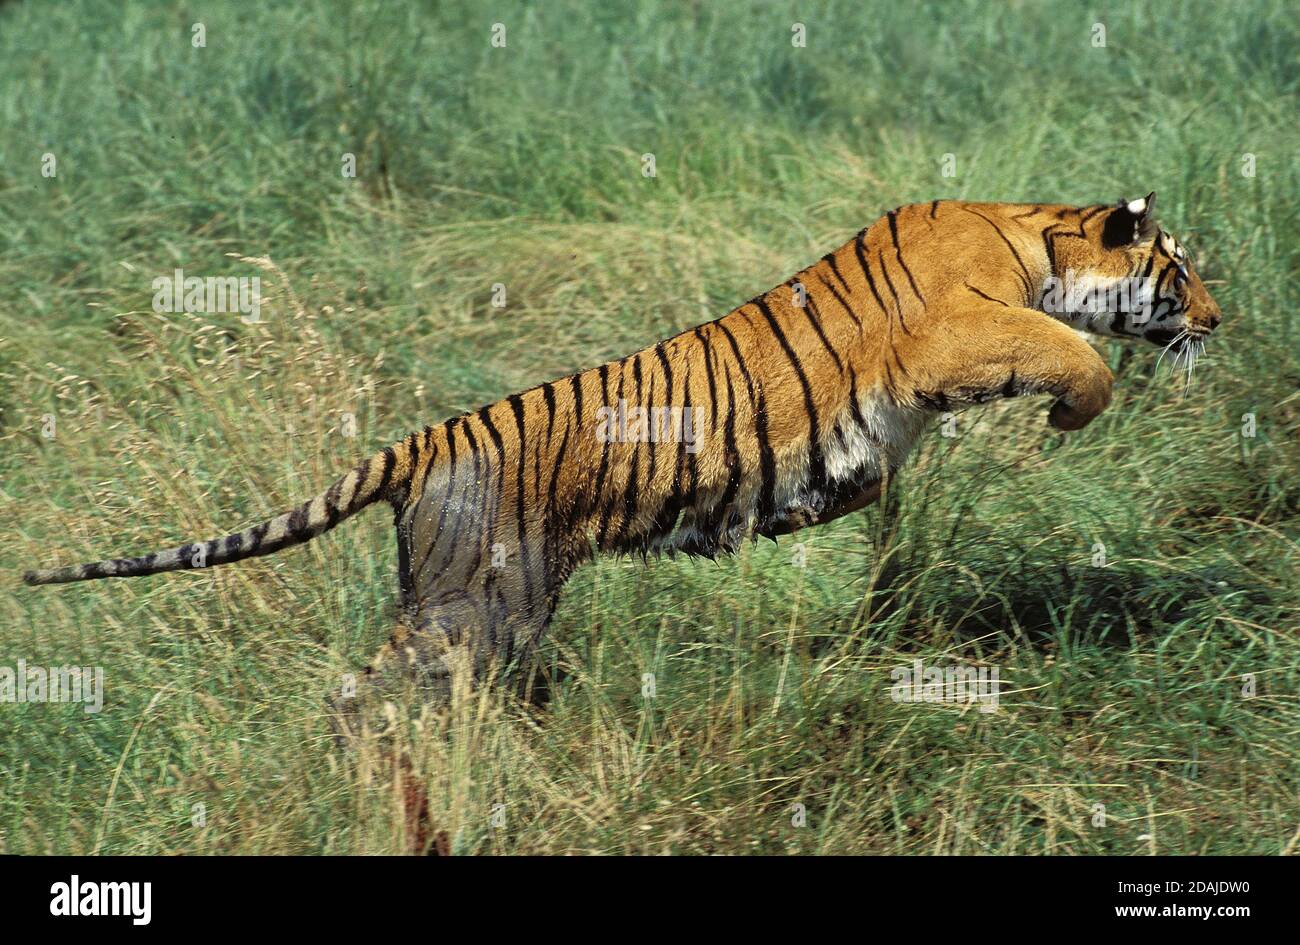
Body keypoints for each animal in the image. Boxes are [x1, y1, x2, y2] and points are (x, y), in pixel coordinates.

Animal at [23, 192, 1222, 706]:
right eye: (1180, 269)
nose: (1220, 317)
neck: (1027, 232)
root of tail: (418, 442)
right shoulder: (953, 332)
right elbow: (1073, 350)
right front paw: (1074, 412)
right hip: (474, 608)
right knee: (359, 694)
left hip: (476, 605)